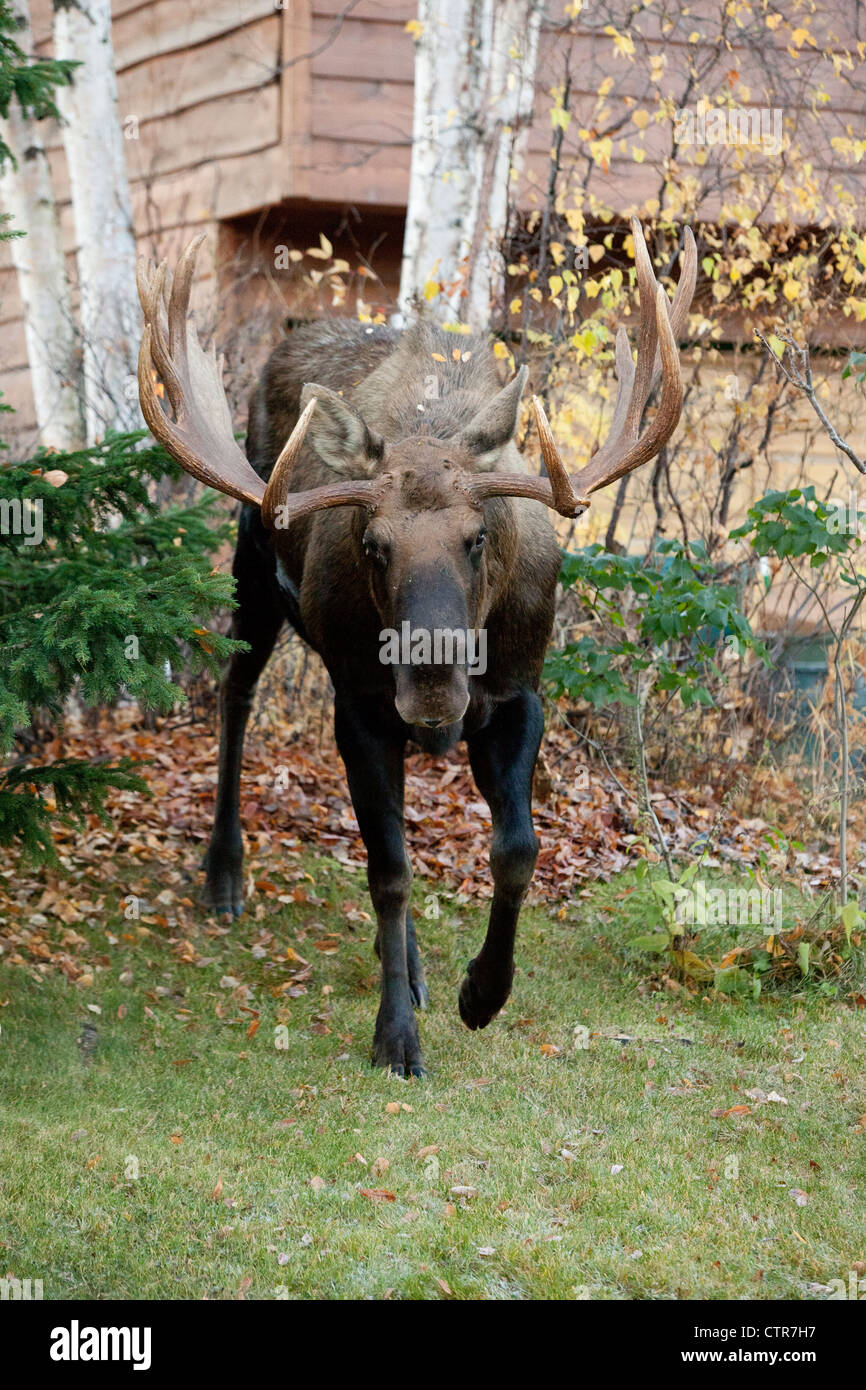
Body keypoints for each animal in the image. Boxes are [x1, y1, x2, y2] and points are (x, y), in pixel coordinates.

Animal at [137, 220, 696, 1077]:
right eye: (373, 544)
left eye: (478, 536)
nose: (433, 687)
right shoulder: (363, 703)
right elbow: (392, 872)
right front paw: (395, 1035)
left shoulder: (518, 694)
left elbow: (517, 848)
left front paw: (482, 992)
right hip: (252, 566)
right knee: (236, 693)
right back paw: (224, 874)